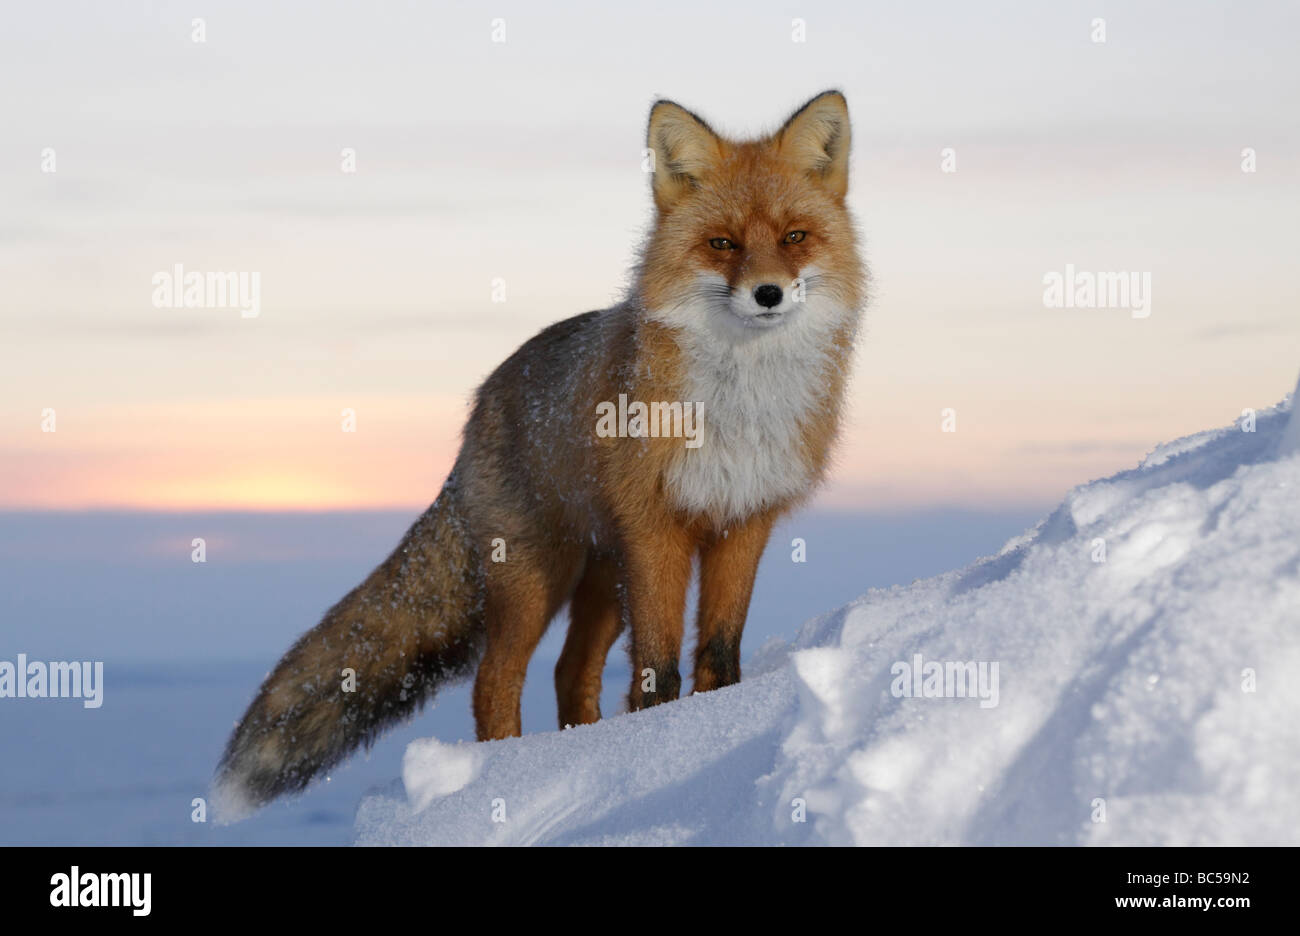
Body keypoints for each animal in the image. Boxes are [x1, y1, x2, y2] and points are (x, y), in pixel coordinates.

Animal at [215, 90, 867, 817]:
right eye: (722, 243)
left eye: (794, 237)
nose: (769, 293)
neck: (740, 399)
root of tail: (482, 401)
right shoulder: (657, 529)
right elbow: (657, 669)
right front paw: (659, 748)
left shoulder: (743, 521)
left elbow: (718, 657)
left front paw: (702, 727)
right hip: (537, 577)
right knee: (496, 679)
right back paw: (503, 779)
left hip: (602, 577)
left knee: (568, 671)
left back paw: (580, 752)